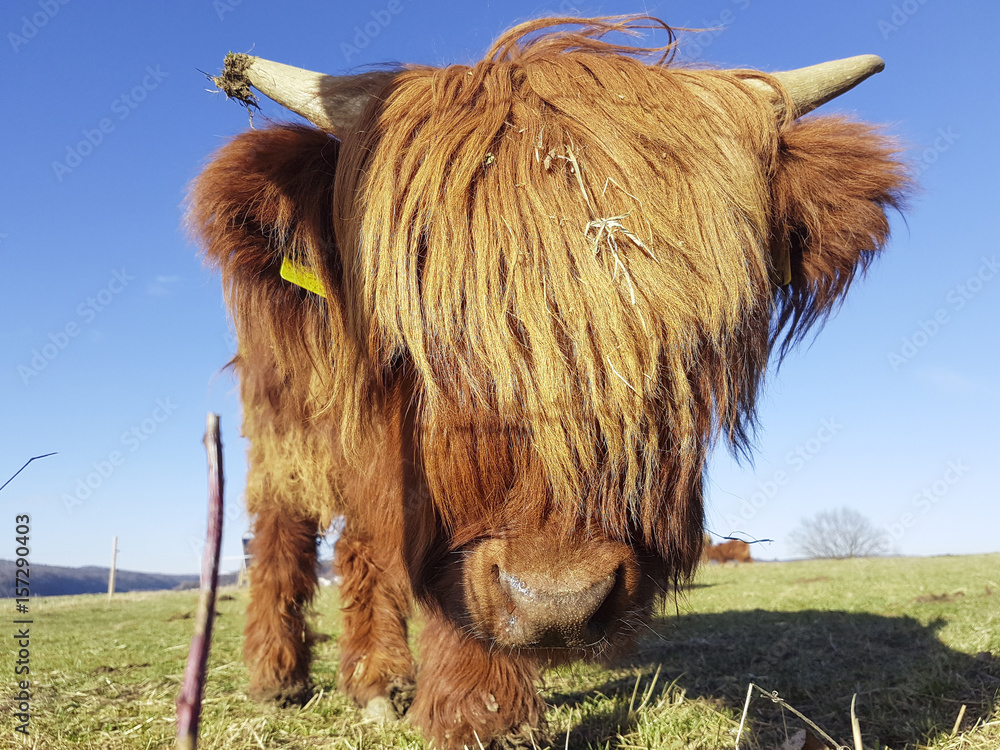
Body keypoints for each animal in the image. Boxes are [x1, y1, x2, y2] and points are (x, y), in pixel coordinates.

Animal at [187, 16, 909, 749]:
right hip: (277, 426)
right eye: (414, 343)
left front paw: (482, 711)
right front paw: (469, 711)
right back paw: (280, 677)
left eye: (695, 341)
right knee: (282, 529)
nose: (559, 603)